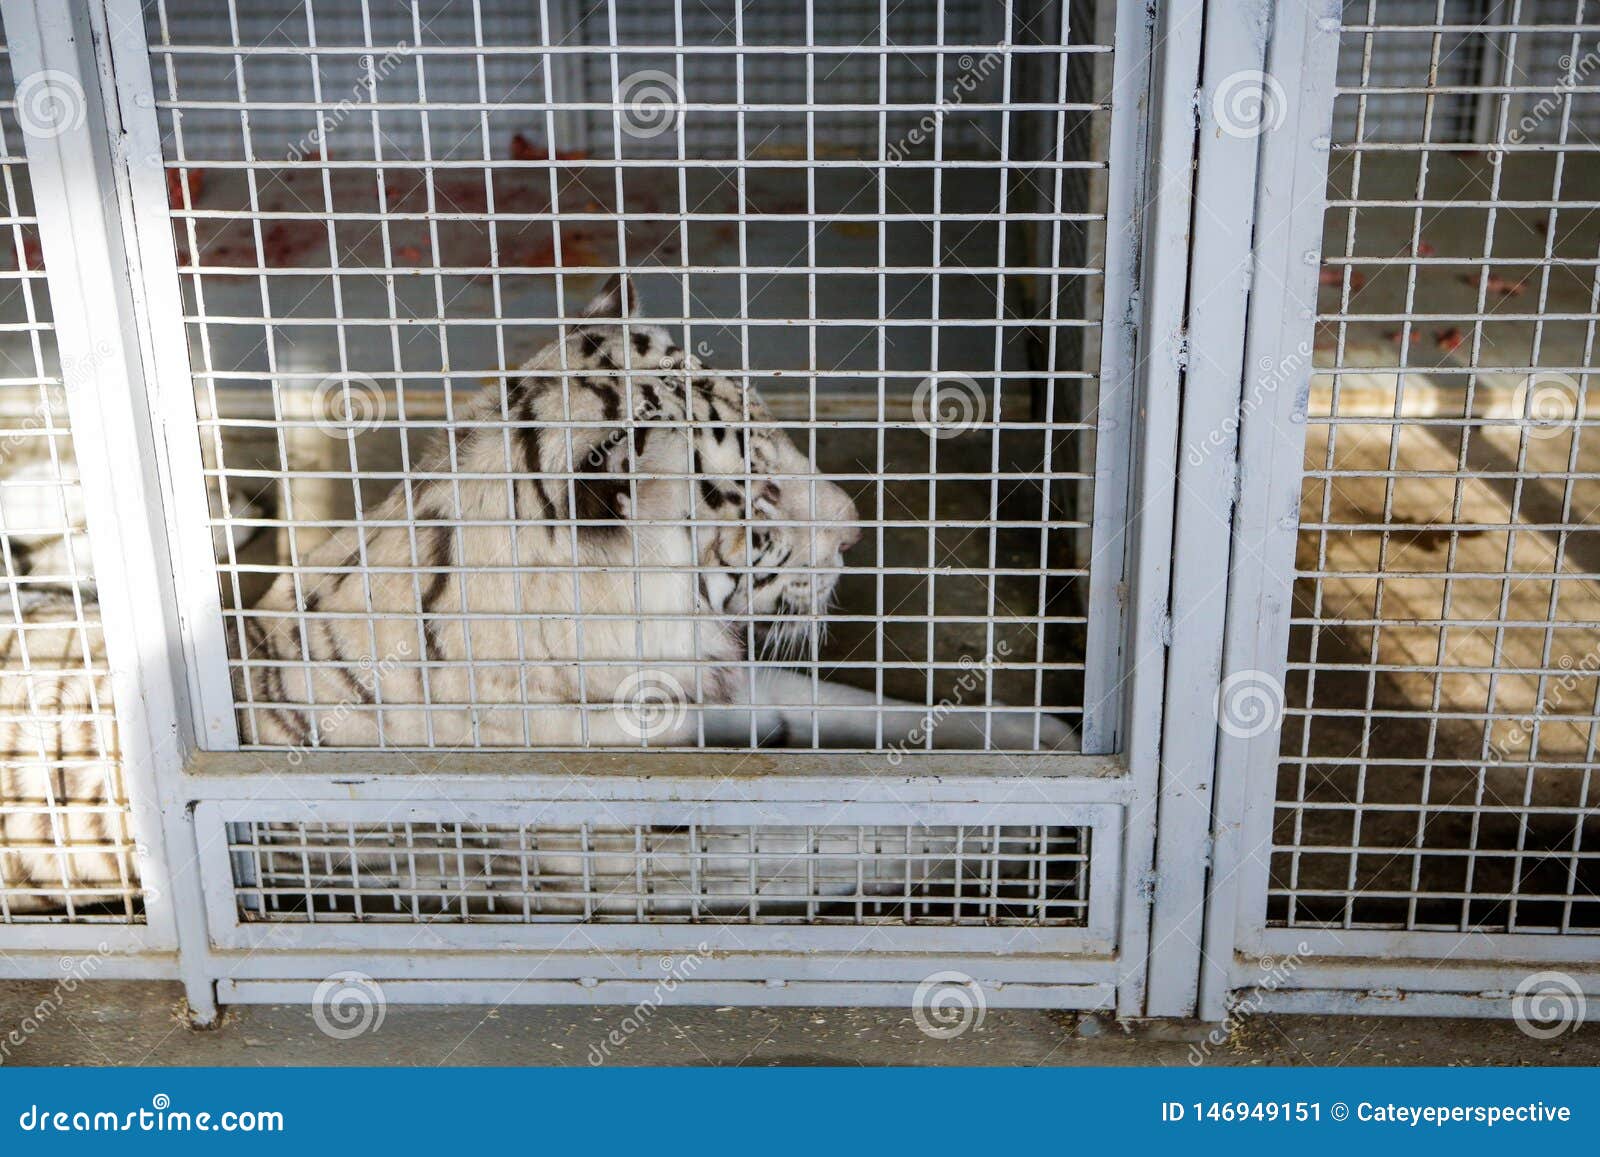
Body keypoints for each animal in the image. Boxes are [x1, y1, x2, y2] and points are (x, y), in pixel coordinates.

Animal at [1, 274, 1073, 915]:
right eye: (758, 497)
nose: (854, 528)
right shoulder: (619, 849)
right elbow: (856, 836)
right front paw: (1033, 830)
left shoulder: (722, 688)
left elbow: (874, 717)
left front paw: (1048, 742)